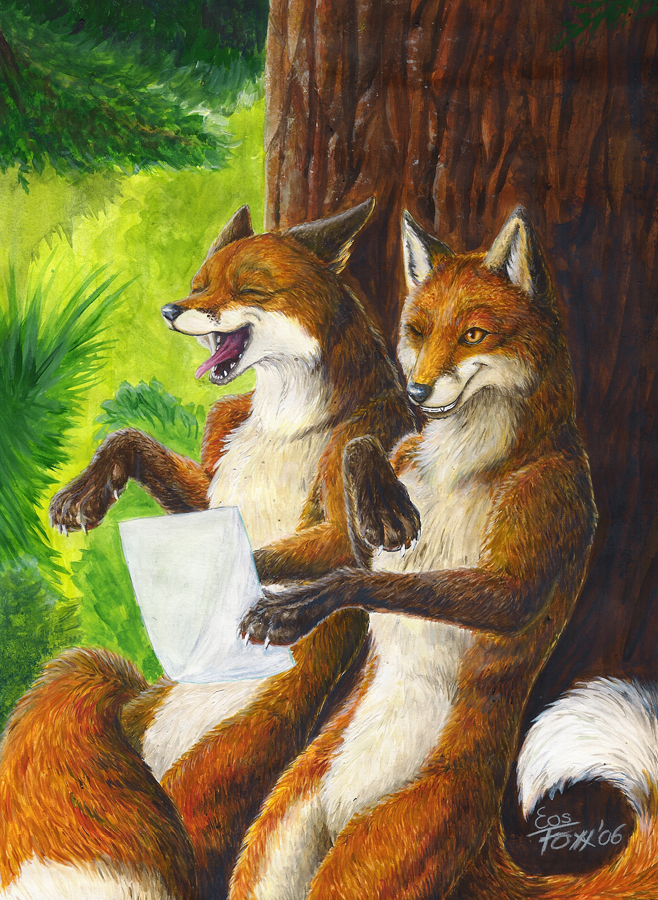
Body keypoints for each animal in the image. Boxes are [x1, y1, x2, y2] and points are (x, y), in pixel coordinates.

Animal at [4, 200, 416, 899]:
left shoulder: (347, 518)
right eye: (200, 283)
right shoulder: (212, 484)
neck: (282, 427)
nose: (172, 310)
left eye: (247, 287)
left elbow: (300, 537)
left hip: (217, 766)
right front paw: (85, 495)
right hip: (108, 689)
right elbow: (129, 439)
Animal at [228, 206, 599, 900]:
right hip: (280, 840)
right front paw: (382, 506)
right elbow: (359, 461)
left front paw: (301, 606)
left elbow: (373, 580)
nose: (419, 391)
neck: (462, 471)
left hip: (372, 855)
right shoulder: (384, 477)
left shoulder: (545, 527)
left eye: (474, 334)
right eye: (419, 332)